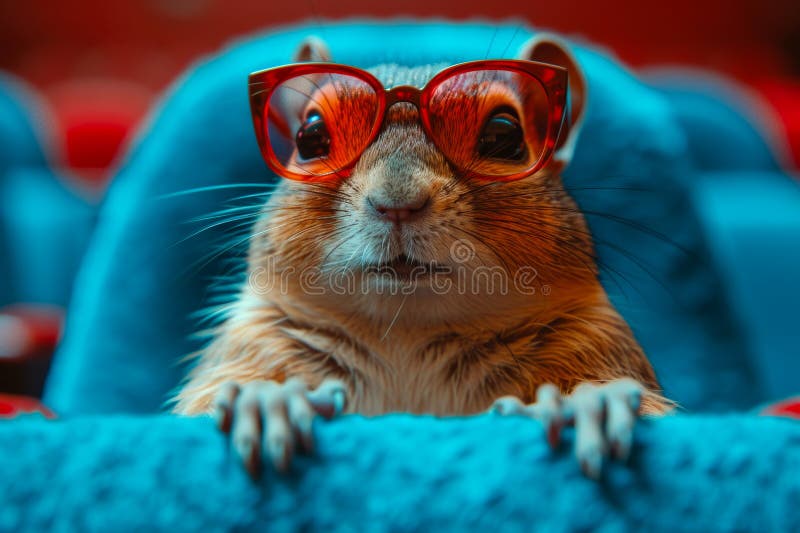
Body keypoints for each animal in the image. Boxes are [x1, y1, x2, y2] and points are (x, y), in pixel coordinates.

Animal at [172, 34, 672, 480]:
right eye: (309, 136)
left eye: (504, 135)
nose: (397, 203)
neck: (406, 338)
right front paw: (262, 400)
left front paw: (587, 404)